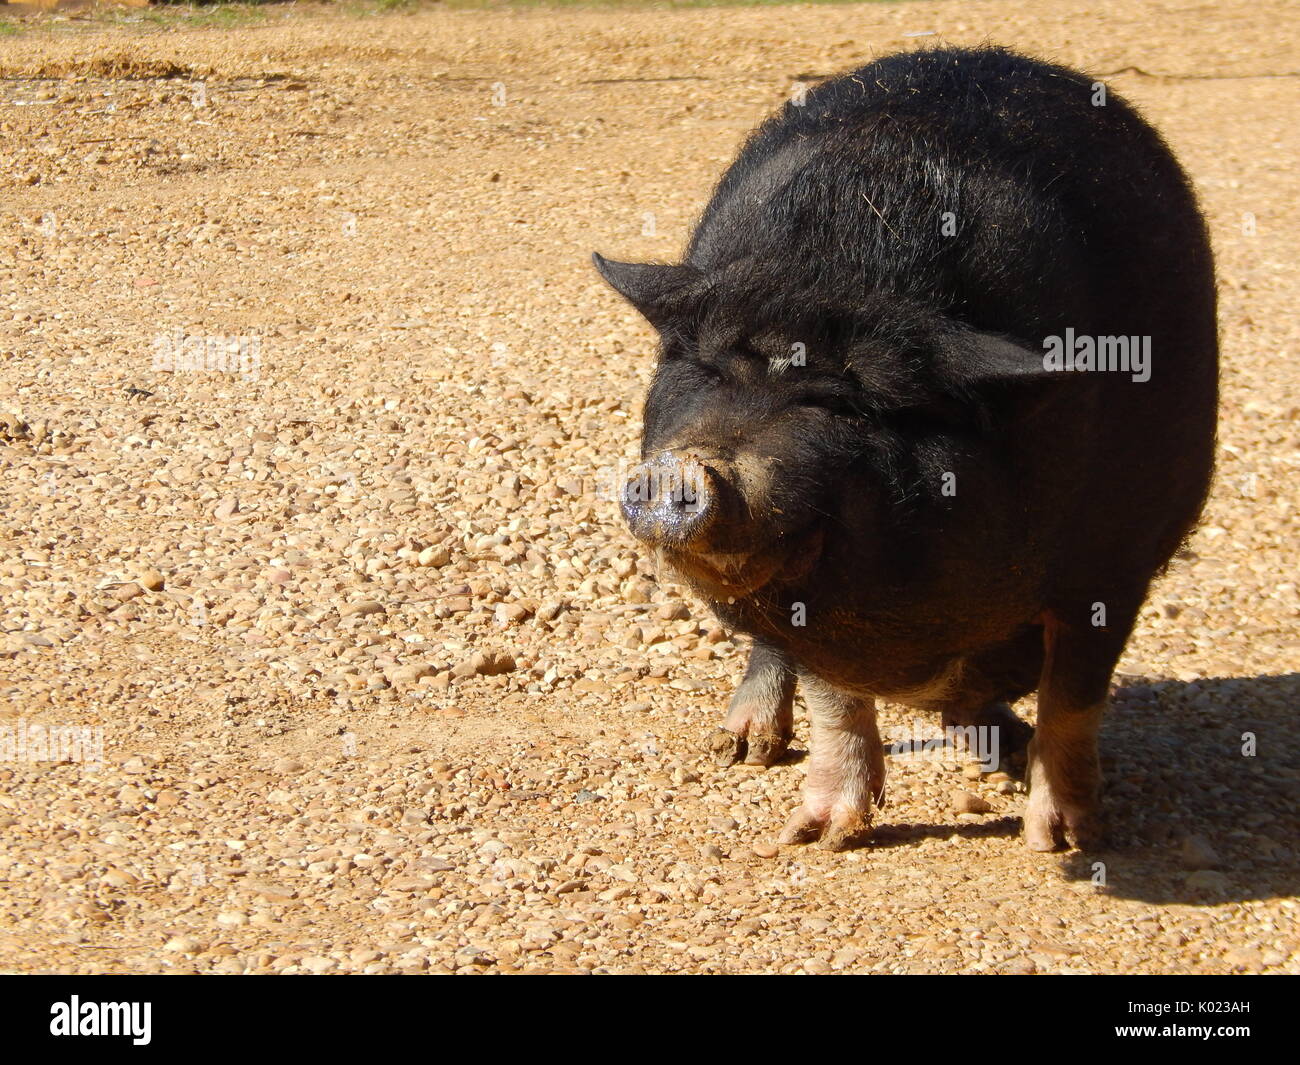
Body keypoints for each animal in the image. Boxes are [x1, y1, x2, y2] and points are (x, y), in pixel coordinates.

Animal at [593, 46, 1217, 852]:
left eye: (846, 404)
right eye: (706, 370)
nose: (681, 471)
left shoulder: (1117, 560)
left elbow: (1076, 695)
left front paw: (1065, 841)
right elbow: (833, 695)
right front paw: (814, 836)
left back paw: (1006, 756)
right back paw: (742, 747)